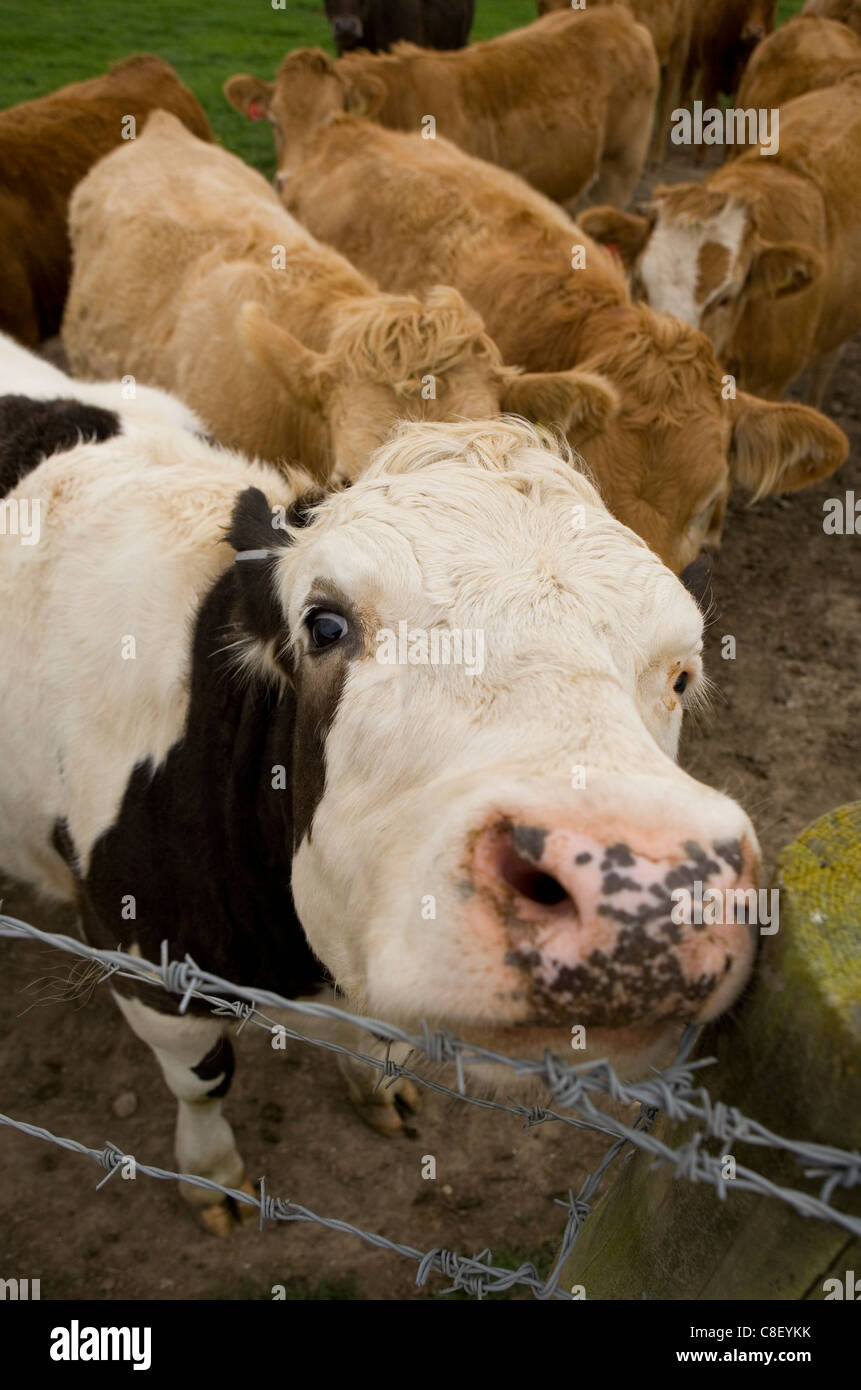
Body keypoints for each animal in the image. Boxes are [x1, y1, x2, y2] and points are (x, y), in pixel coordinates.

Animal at [0, 394, 764, 1232]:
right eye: (325, 624)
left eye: (681, 675)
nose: (640, 886)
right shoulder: (145, 968)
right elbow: (201, 1081)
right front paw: (209, 1176)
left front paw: (373, 1087)